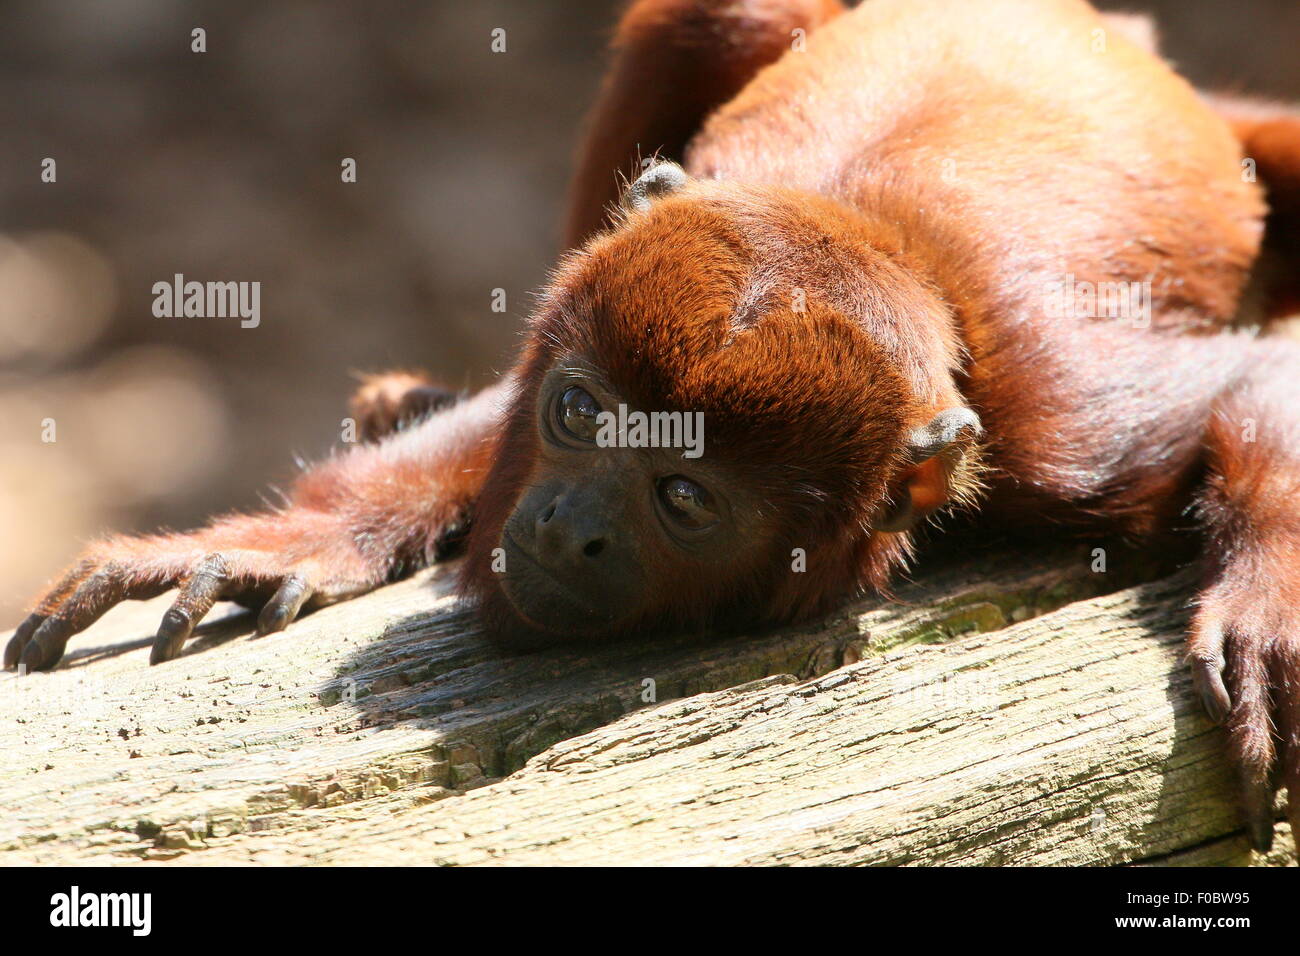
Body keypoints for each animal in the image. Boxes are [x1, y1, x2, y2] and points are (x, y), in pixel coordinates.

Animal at [8, 0, 1300, 854]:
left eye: (685, 494)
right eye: (581, 412)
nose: (565, 525)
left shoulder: (1064, 427)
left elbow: (1252, 382)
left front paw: (1264, 606)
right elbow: (487, 414)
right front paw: (285, 540)